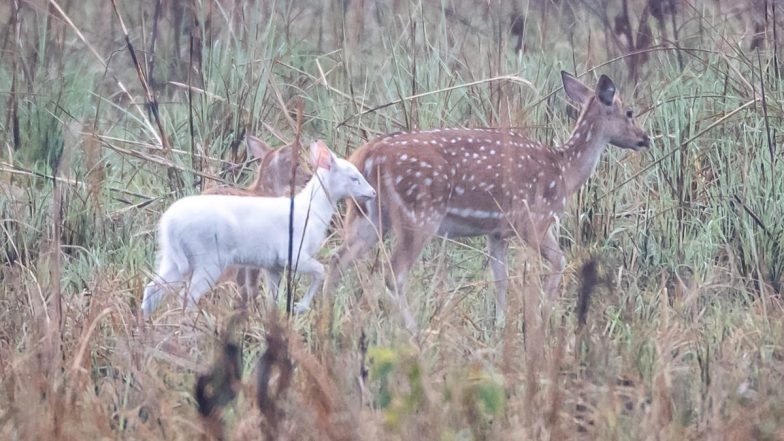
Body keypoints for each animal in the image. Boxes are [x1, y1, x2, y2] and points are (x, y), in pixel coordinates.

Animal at [325, 71, 649, 329]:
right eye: (629, 112)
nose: (645, 138)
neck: (564, 171)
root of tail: (367, 155)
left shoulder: (497, 232)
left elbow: (500, 279)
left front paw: (501, 325)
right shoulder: (534, 220)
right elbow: (559, 261)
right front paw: (541, 317)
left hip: (367, 215)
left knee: (337, 260)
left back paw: (324, 321)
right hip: (418, 214)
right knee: (393, 274)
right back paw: (412, 330)